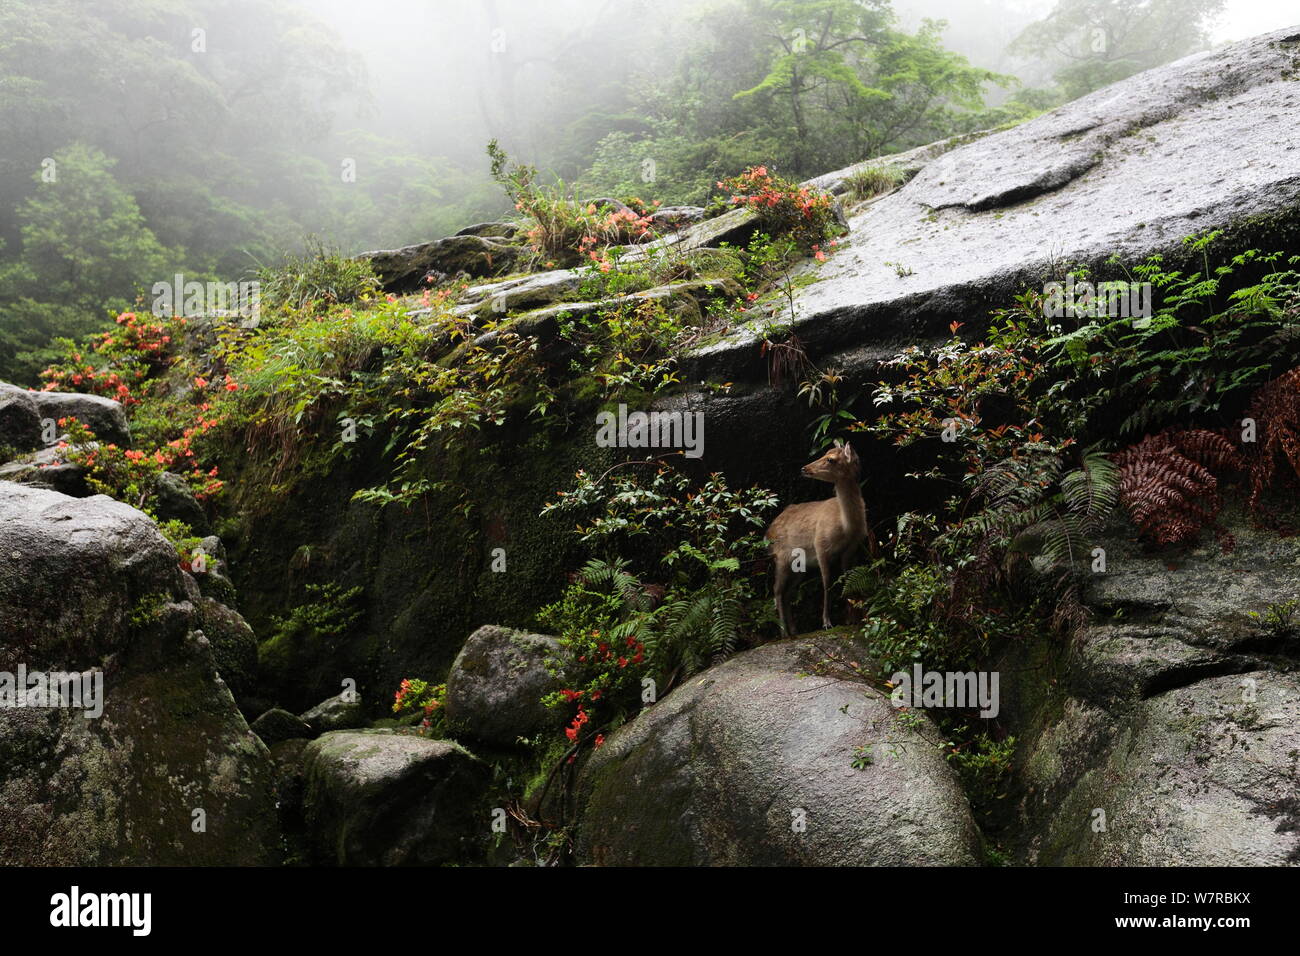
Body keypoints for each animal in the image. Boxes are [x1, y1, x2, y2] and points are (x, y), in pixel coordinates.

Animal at [764, 440, 876, 635]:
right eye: (824, 453)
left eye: (830, 459)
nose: (804, 468)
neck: (847, 527)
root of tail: (767, 532)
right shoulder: (820, 545)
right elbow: (827, 582)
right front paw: (826, 622)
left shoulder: (851, 548)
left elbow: (847, 578)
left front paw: (851, 618)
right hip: (781, 557)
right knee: (777, 590)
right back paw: (783, 632)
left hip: (799, 566)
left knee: (788, 593)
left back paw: (794, 630)